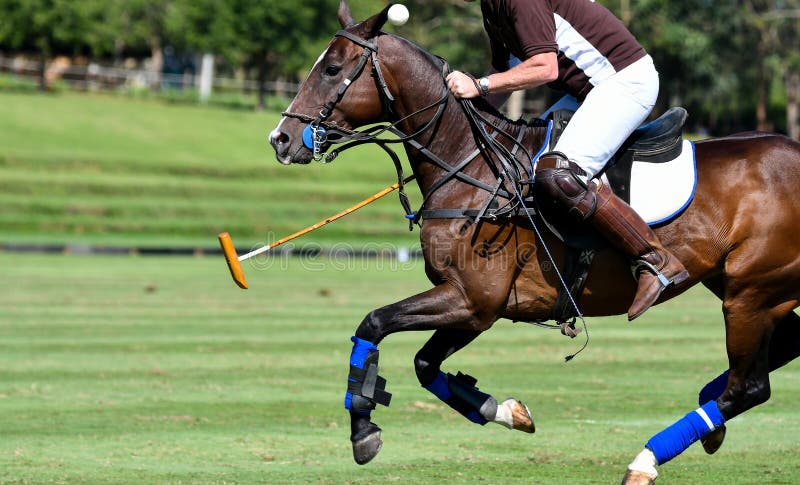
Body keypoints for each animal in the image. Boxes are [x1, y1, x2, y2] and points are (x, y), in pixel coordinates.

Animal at [267, 2, 800, 483]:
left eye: (332, 68)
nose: (281, 139)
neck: (472, 165)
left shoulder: (472, 298)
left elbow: (374, 323)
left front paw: (363, 431)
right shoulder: (479, 306)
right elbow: (423, 363)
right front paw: (506, 411)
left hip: (748, 294)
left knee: (749, 387)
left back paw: (646, 459)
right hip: (750, 288)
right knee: (771, 361)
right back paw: (708, 420)